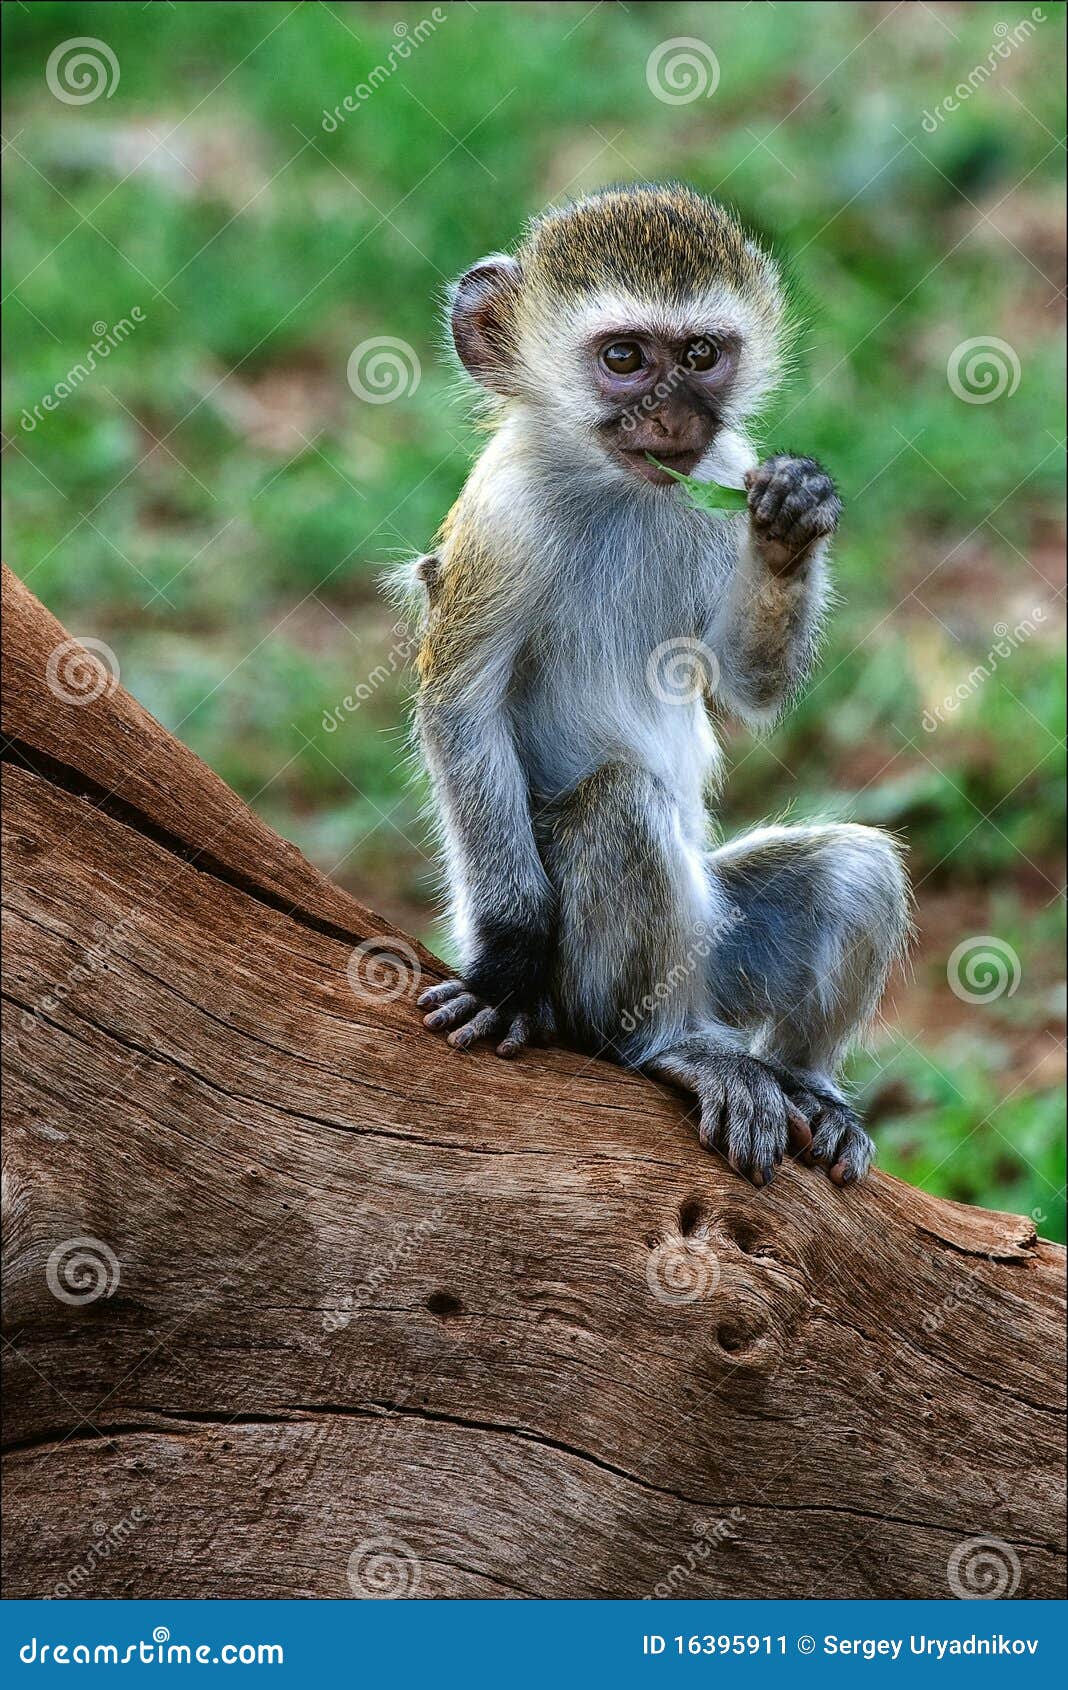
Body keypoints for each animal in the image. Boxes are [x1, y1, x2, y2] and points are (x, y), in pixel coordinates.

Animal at [403, 184, 910, 1188]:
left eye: (702, 355)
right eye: (625, 359)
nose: (675, 422)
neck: (619, 488)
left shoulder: (723, 472)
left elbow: (749, 685)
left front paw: (792, 522)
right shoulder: (502, 524)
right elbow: (461, 706)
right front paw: (507, 965)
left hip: (726, 943)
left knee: (856, 870)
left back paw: (808, 1089)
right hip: (597, 981)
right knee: (625, 809)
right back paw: (672, 1050)